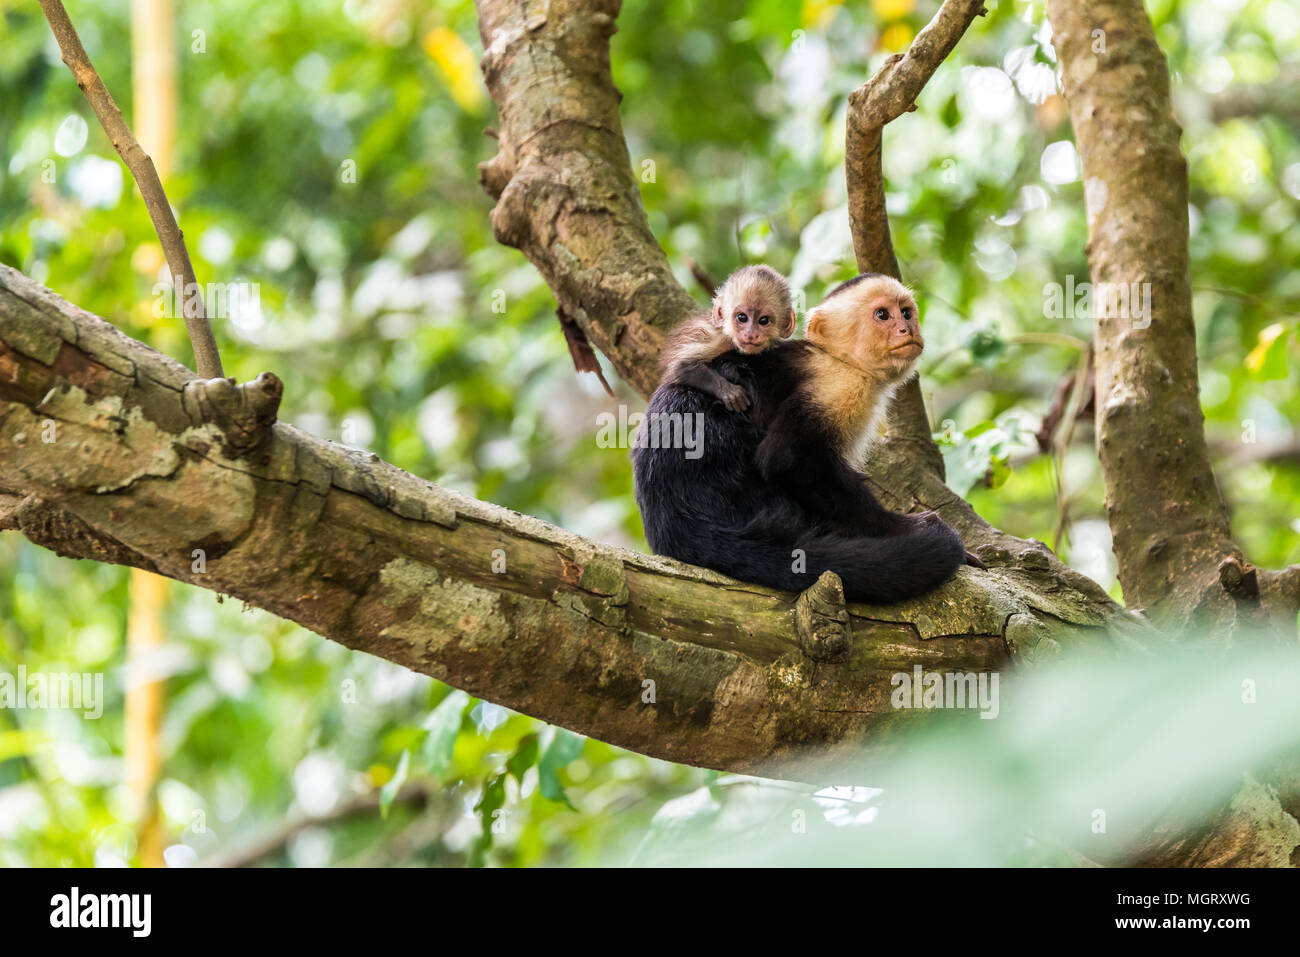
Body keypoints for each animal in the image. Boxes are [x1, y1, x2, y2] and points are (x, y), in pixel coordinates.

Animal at [658, 264, 796, 413]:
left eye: (763, 320)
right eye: (742, 317)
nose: (751, 334)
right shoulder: (717, 339)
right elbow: (681, 367)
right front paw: (727, 391)